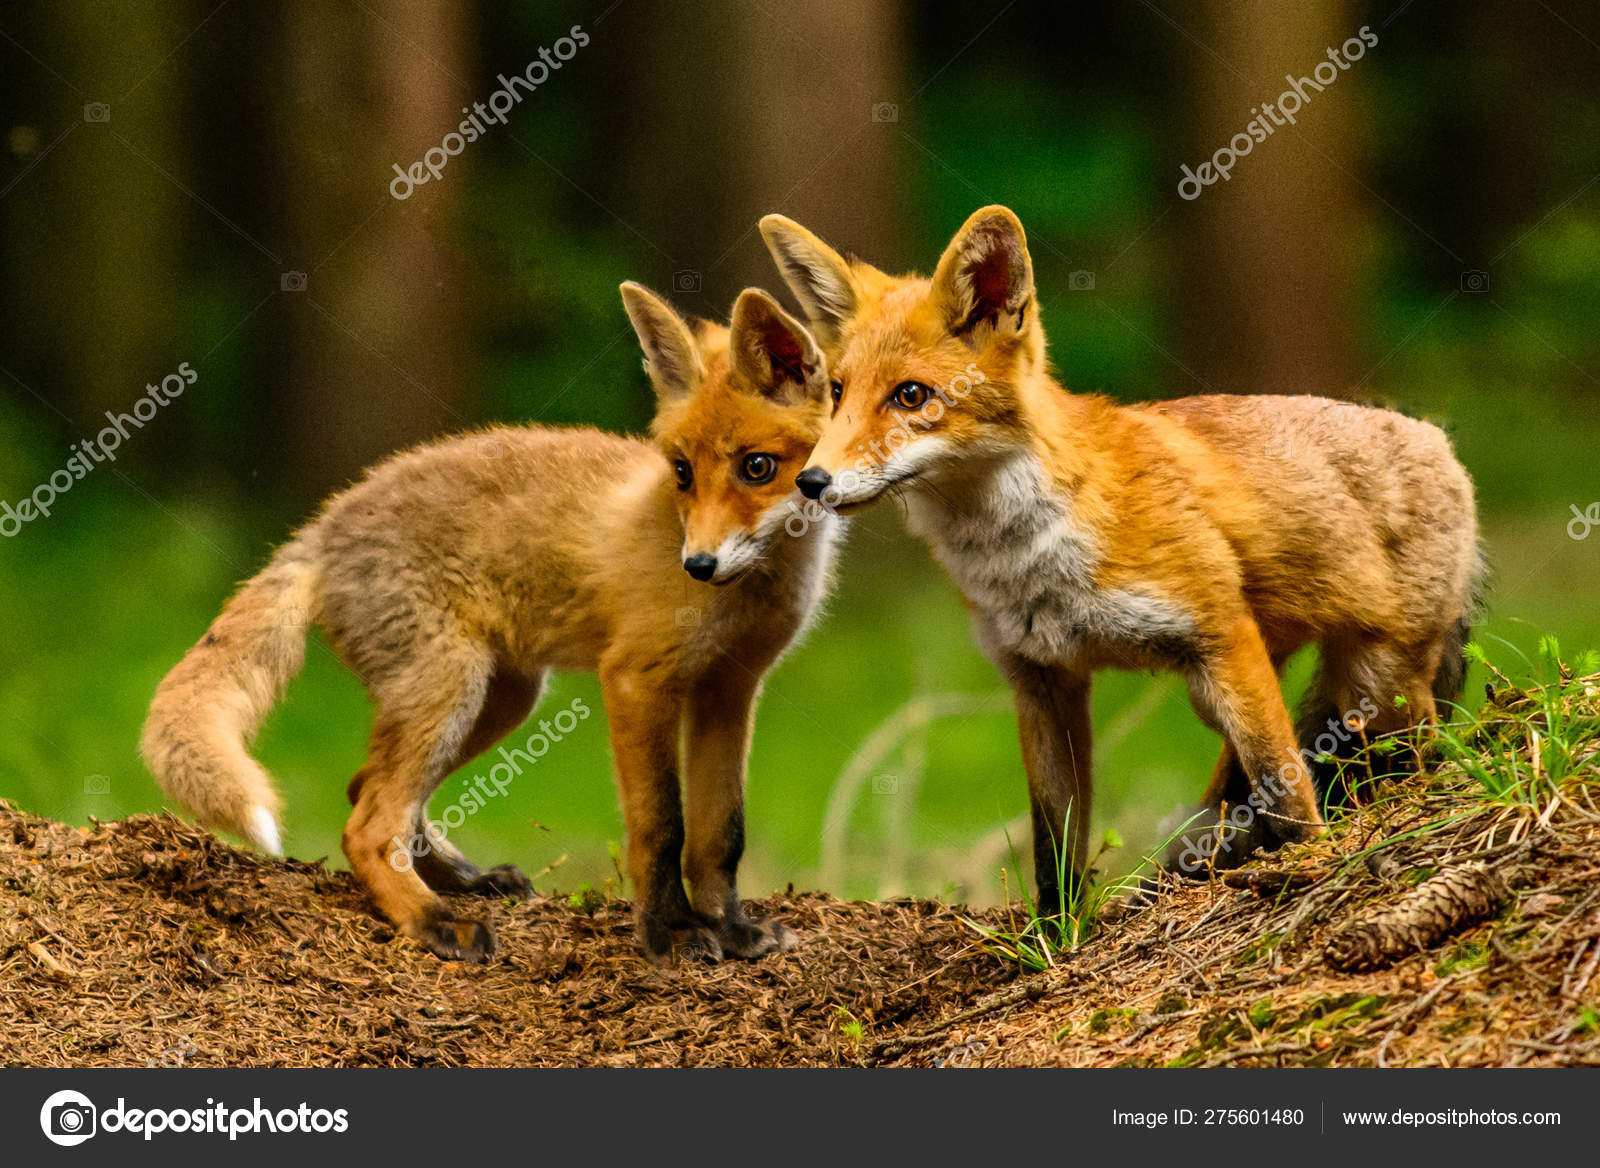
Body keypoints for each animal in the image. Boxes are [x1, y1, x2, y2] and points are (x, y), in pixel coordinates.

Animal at [140, 283, 840, 964]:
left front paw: (733, 931)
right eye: (682, 471)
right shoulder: (637, 680)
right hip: (452, 689)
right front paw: (669, 933)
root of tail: (323, 524)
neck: (753, 589)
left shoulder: (730, 690)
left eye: (756, 466)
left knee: (367, 790)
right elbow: (660, 828)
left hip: (500, 697)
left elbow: (720, 833)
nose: (698, 565)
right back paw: (433, 920)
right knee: (367, 824)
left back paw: (463, 882)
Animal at [759, 205, 1481, 905]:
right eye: (836, 393)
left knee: (1407, 758)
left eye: (910, 395)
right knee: (1234, 788)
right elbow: (1054, 849)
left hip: (1369, 688)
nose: (812, 482)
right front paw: (1058, 935)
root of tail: (1436, 437)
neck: (1029, 558)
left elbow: (1290, 791)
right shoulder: (1041, 680)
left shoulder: (1219, 638)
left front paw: (1315, 862)